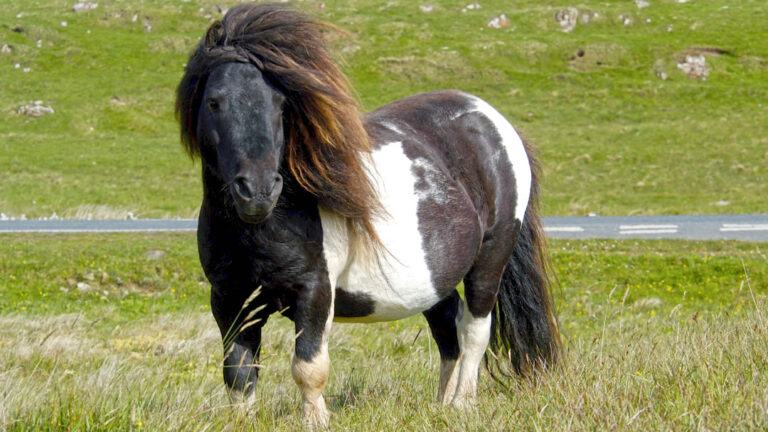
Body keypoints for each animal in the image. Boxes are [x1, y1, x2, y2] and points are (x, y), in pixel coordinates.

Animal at [176, 3, 560, 427]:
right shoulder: (231, 299)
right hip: (434, 280)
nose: (258, 189)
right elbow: (239, 373)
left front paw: (316, 422)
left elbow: (308, 368)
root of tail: (493, 122)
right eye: (214, 102)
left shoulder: (314, 291)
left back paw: (461, 404)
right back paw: (441, 405)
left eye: (281, 104)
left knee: (474, 330)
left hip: (490, 259)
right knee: (449, 331)